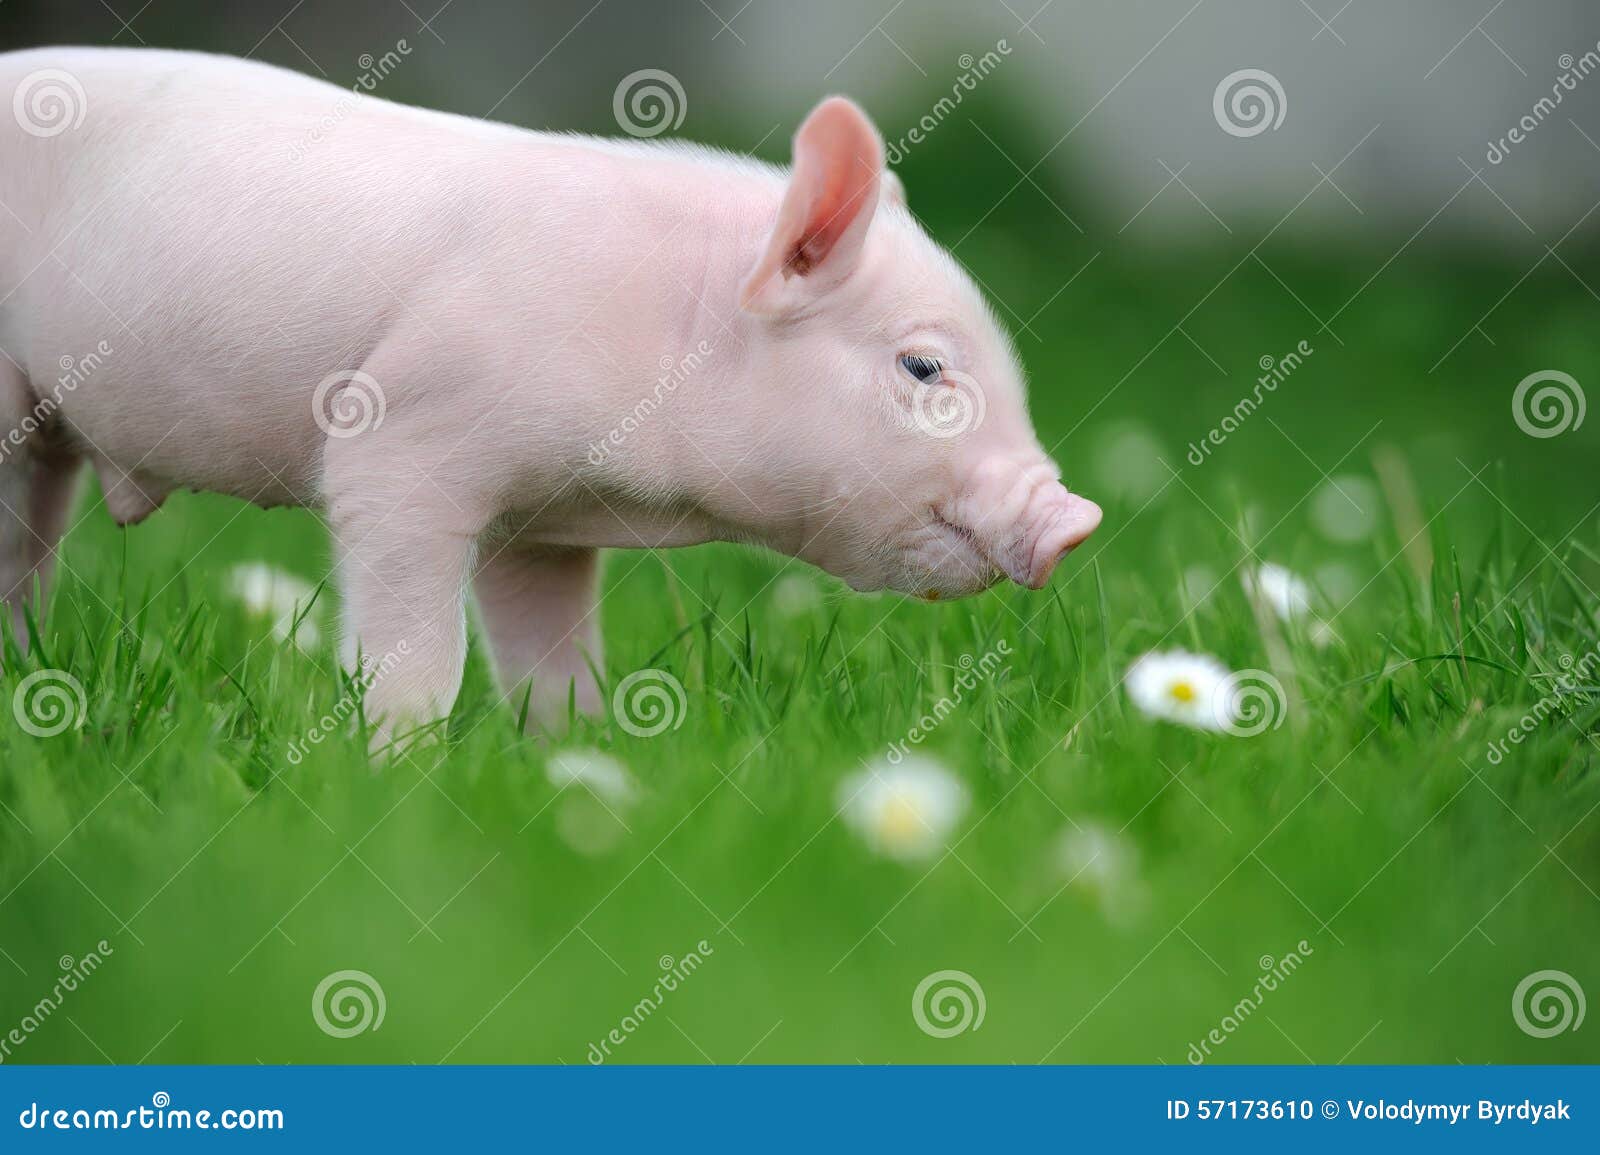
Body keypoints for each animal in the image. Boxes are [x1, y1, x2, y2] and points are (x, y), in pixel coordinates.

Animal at [0, 47, 1101, 740]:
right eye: (924, 368)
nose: (1077, 519)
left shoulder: (543, 526)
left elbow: (555, 664)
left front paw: (575, 766)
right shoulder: (402, 445)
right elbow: (419, 661)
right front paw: (393, 777)